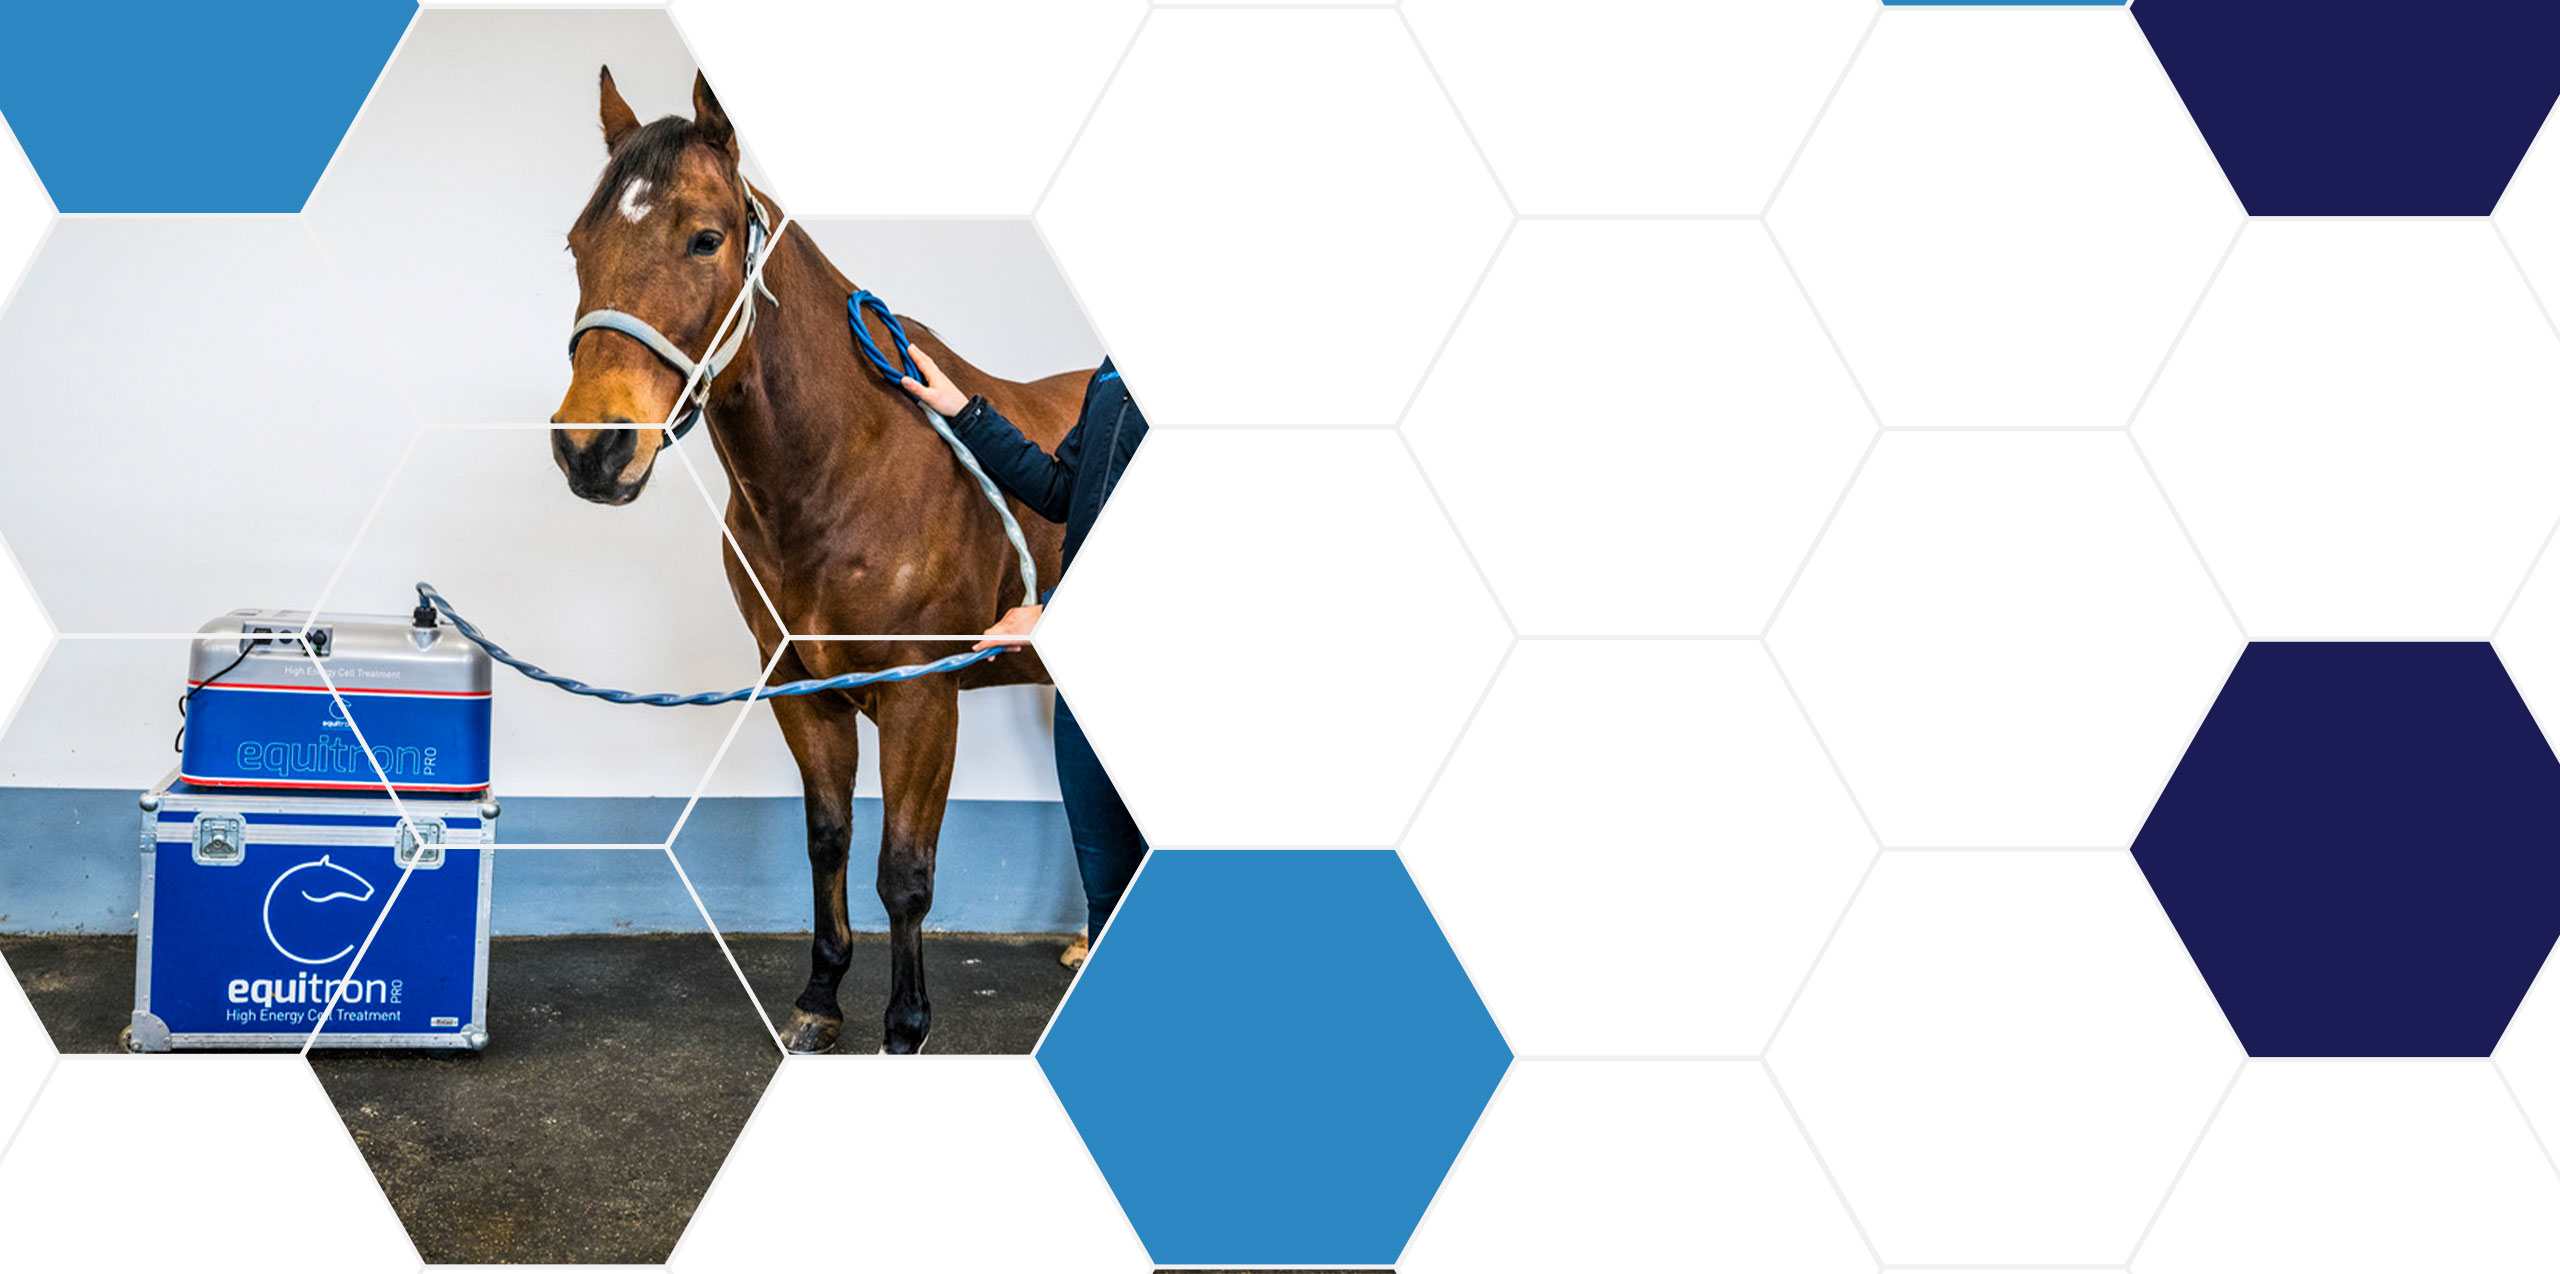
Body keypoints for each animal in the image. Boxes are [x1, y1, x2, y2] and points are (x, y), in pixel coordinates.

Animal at [549, 68, 1085, 1054]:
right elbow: (828, 839)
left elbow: (904, 871)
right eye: (577, 244)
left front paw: (905, 1028)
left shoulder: (922, 698)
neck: (848, 469)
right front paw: (819, 1000)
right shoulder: (802, 688)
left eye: (706, 237)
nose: (592, 450)